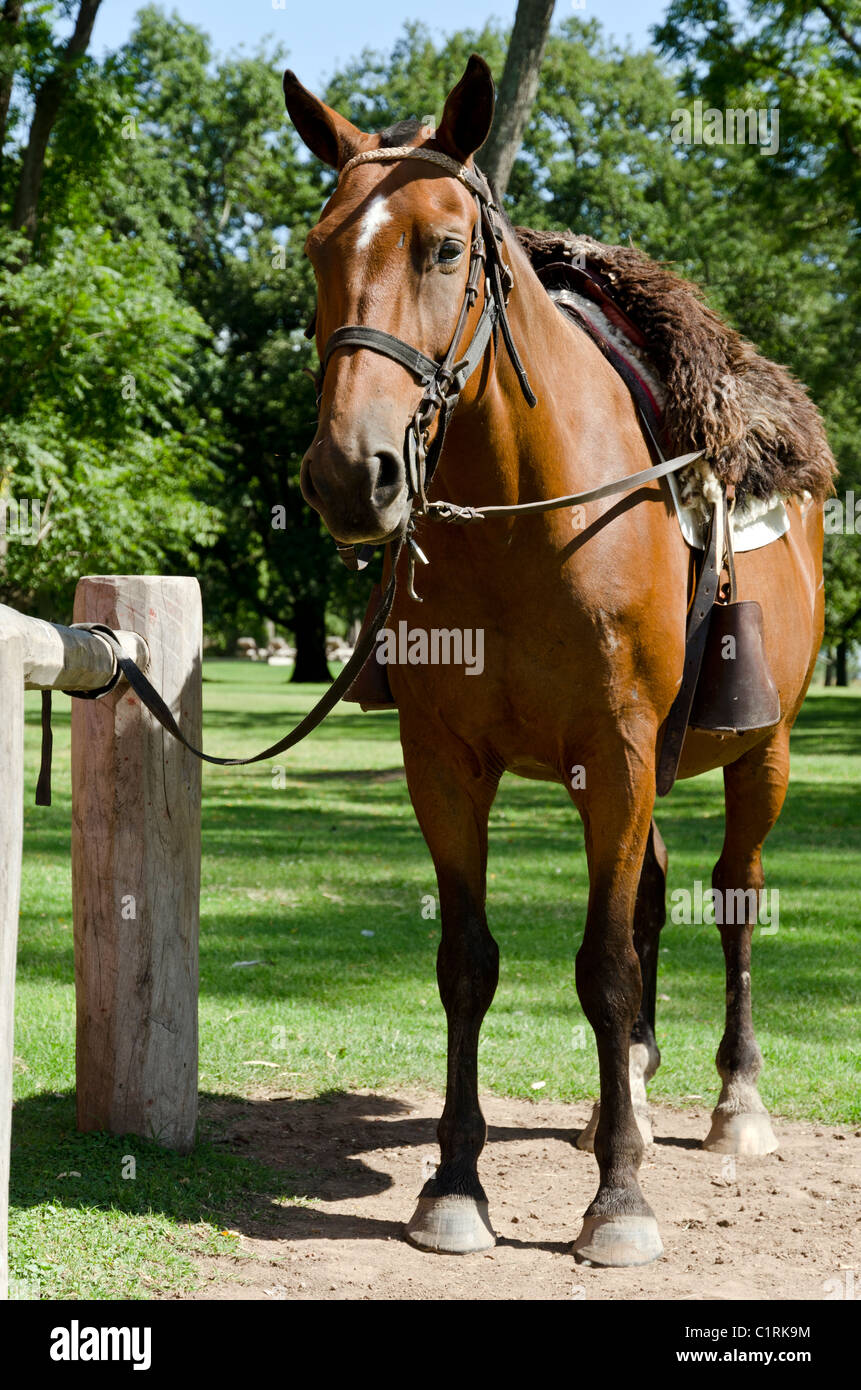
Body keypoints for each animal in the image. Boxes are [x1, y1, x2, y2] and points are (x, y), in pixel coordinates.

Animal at [282, 55, 826, 1266]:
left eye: (444, 248)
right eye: (316, 251)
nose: (349, 472)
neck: (522, 520)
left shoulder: (616, 750)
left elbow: (605, 965)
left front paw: (620, 1201)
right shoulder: (445, 760)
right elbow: (468, 962)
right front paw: (453, 1183)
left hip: (758, 752)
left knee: (733, 895)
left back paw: (736, 1101)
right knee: (658, 891)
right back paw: (630, 1092)